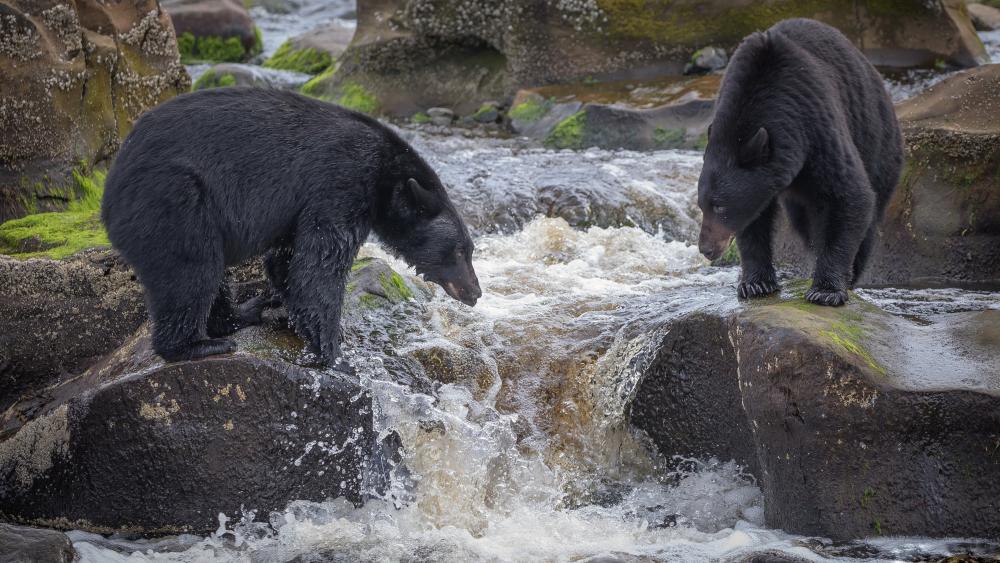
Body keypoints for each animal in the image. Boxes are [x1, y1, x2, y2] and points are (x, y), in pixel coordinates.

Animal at [102, 87, 481, 365]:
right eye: (460, 250)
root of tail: (109, 196)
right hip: (175, 203)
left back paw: (244, 312)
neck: (385, 176)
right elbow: (320, 264)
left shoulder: (298, 207)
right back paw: (196, 345)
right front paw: (330, 348)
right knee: (191, 271)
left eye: (470, 250)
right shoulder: (341, 180)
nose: (476, 292)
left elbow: (287, 258)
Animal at [697, 18, 904, 306]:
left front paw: (826, 290)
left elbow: (850, 196)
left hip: (877, 144)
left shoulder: (816, 127)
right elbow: (755, 221)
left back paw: (852, 276)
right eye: (701, 205)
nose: (705, 249)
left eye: (720, 207)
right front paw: (755, 283)